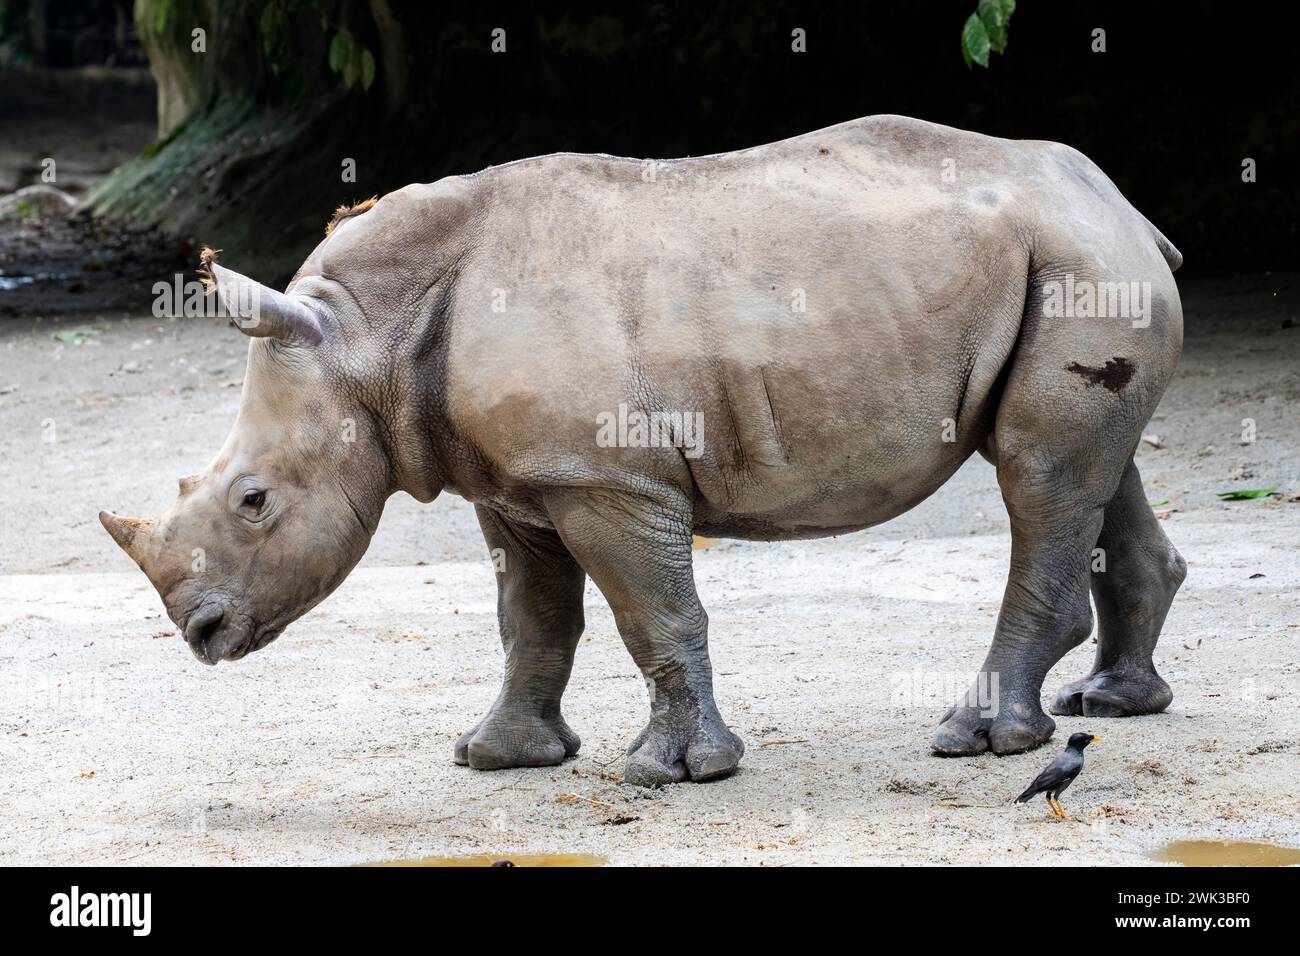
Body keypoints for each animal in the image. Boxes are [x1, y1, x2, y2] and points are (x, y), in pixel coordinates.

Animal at [101, 115, 1186, 787]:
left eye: (253, 500)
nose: (200, 634)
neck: (364, 336)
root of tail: (1126, 208)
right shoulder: (522, 481)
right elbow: (531, 618)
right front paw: (498, 756)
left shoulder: (608, 477)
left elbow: (650, 611)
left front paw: (672, 772)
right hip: (1078, 268)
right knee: (1093, 471)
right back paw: (1112, 702)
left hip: (1077, 264)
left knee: (1038, 476)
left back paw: (979, 738)